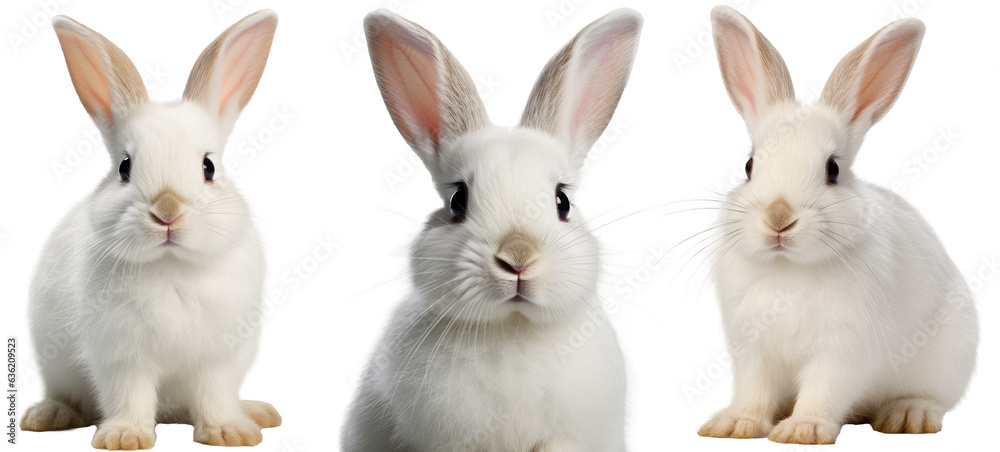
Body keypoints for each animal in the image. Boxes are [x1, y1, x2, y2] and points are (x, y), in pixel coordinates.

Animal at [19, 10, 281, 449]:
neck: (170, 265)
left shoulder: (218, 358)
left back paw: (259, 412)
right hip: (56, 368)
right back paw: (47, 416)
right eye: (125, 167)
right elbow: (130, 395)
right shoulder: (122, 358)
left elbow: (214, 394)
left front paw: (230, 432)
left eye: (209, 167)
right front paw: (124, 437)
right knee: (68, 396)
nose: (167, 212)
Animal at [697, 5, 979, 445]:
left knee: (931, 398)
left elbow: (823, 390)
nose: (779, 219)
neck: (789, 270)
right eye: (749, 166)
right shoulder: (753, 349)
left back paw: (908, 416)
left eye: (833, 169)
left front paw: (803, 431)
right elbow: (753, 390)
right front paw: (735, 425)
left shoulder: (843, 350)